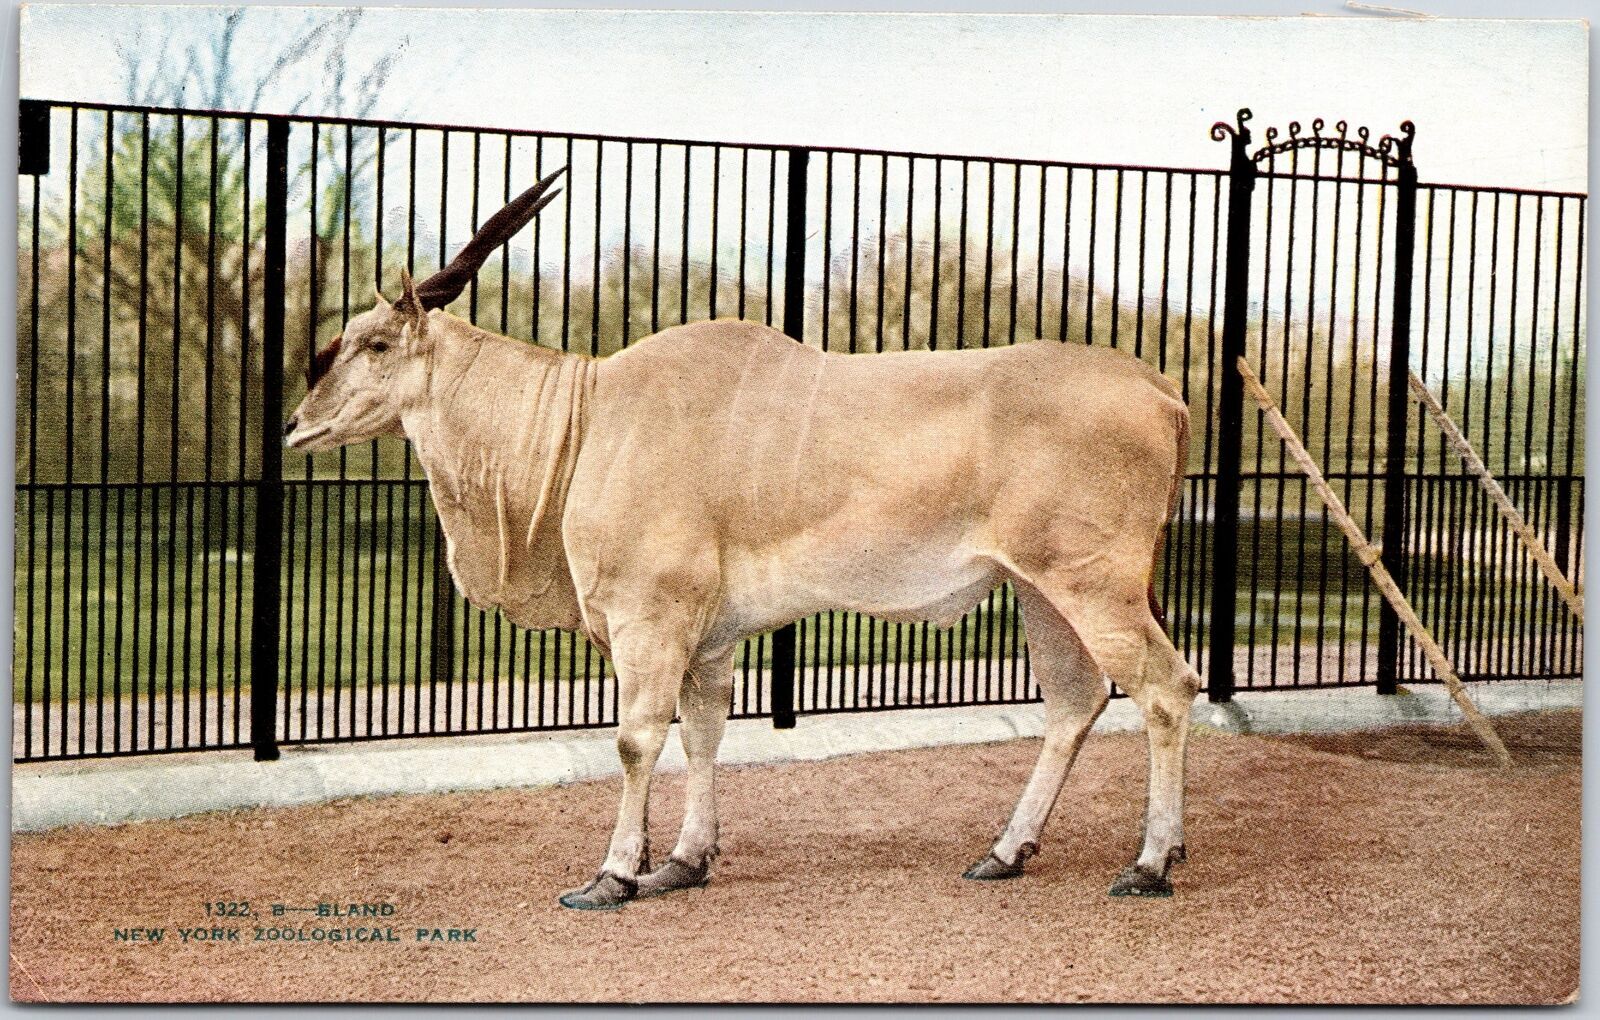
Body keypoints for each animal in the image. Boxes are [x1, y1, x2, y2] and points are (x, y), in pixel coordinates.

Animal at [285, 168, 1199, 910]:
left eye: (374, 343)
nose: (295, 425)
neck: (589, 415)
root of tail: (1160, 389)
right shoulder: (708, 640)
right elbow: (703, 733)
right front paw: (683, 861)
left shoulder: (649, 620)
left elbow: (636, 739)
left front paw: (613, 875)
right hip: (1039, 590)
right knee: (1074, 702)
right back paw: (1006, 852)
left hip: (1093, 585)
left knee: (1166, 688)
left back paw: (1150, 863)